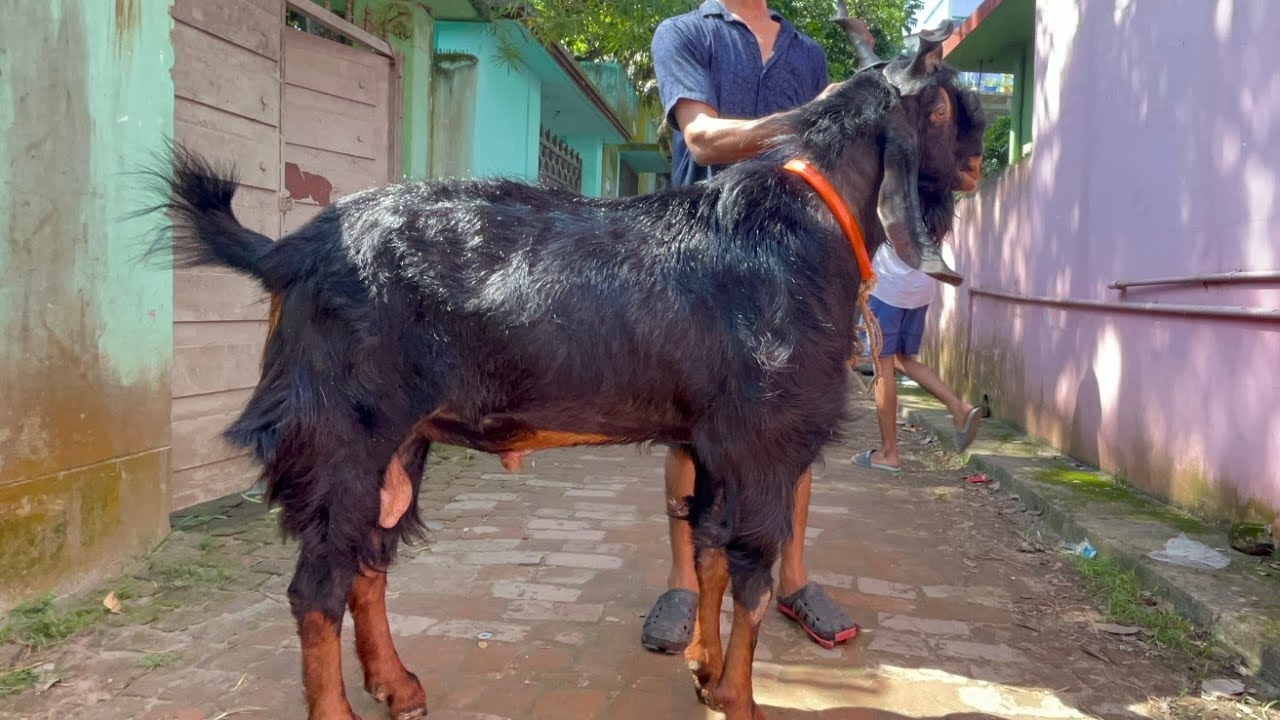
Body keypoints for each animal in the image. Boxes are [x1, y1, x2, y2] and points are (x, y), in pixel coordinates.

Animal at [149, 14, 984, 720]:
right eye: (953, 103)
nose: (981, 156)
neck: (799, 224)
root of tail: (289, 249)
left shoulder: (713, 442)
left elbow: (711, 554)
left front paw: (706, 673)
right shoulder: (764, 442)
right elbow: (749, 575)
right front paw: (740, 700)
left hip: (399, 439)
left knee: (369, 560)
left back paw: (399, 685)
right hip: (340, 430)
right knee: (317, 584)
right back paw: (342, 706)